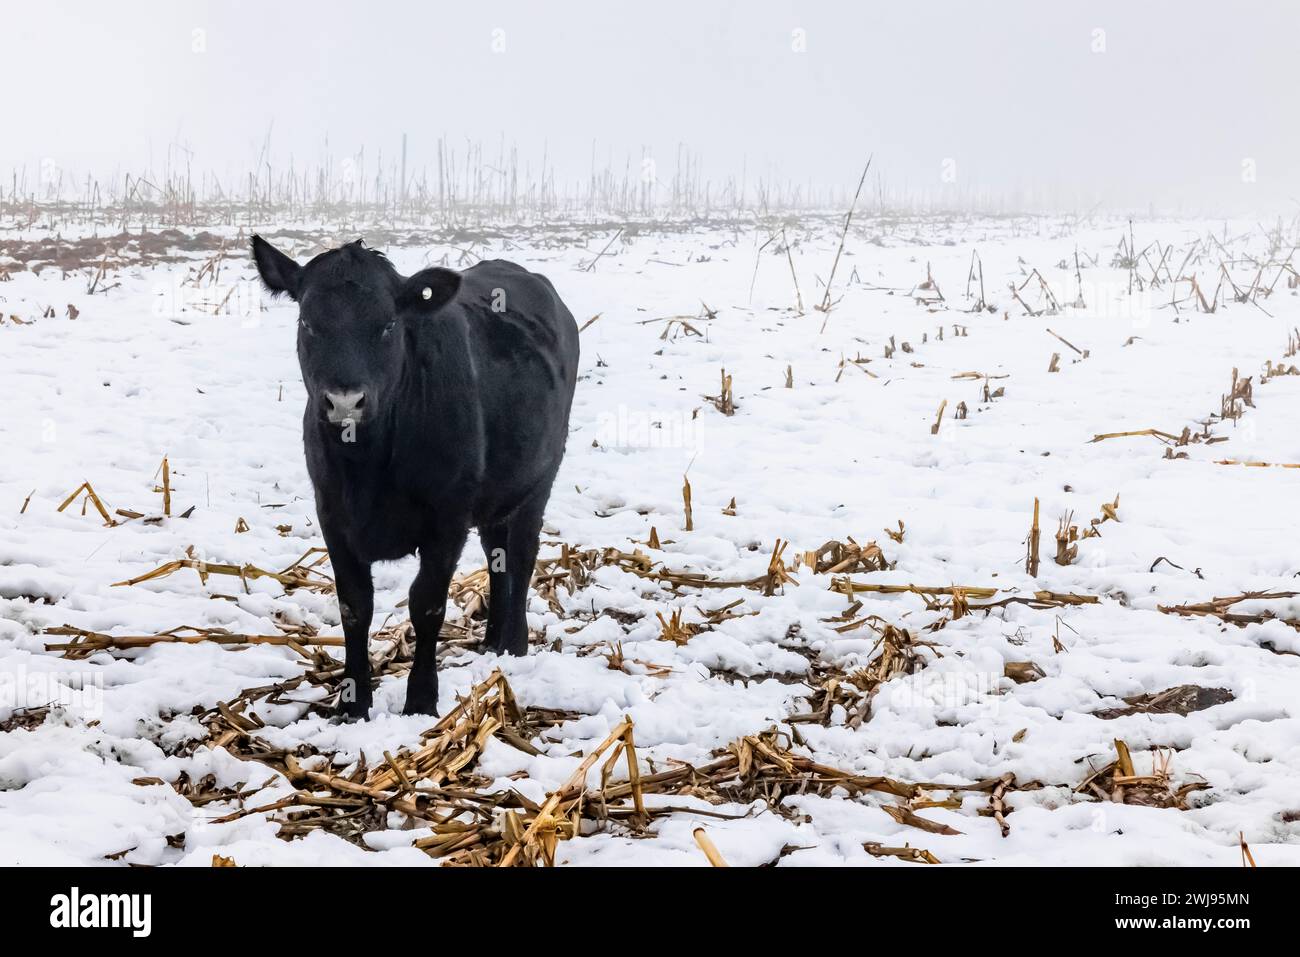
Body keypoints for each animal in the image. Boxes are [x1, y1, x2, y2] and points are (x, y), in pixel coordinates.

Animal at [250, 236, 579, 719]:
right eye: (307, 323)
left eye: (389, 324)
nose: (345, 401)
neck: (367, 467)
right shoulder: (332, 515)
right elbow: (354, 605)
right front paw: (352, 702)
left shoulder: (448, 519)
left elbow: (427, 605)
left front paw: (421, 700)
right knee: (496, 555)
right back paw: (492, 642)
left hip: (539, 477)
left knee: (520, 554)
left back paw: (513, 645)